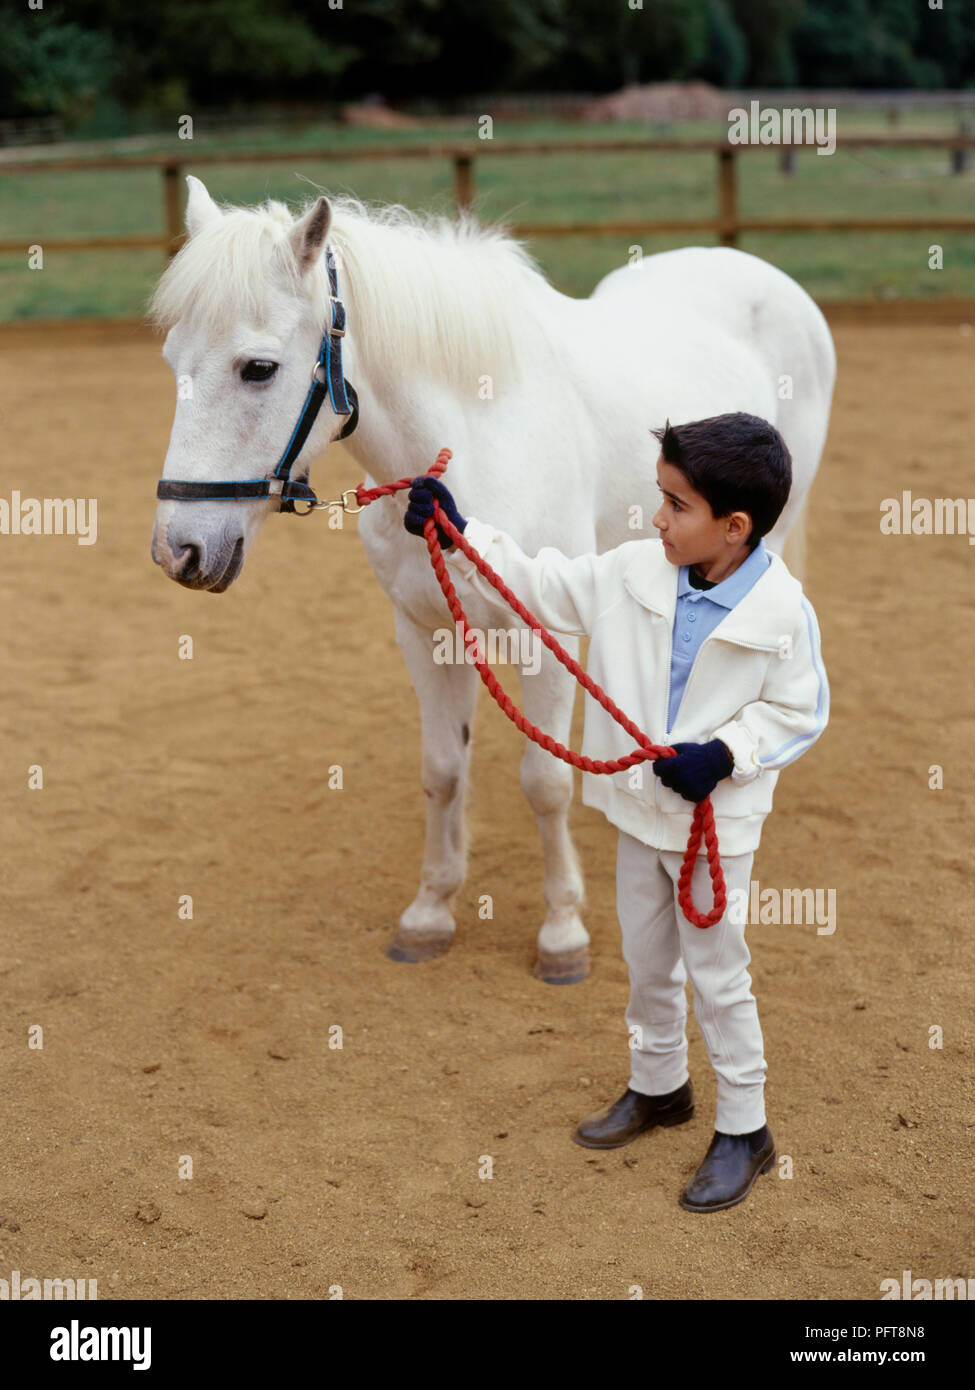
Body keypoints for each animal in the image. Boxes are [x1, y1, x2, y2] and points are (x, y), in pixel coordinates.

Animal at [150, 175, 835, 984]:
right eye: (173, 359)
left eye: (258, 368)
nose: (178, 550)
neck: (478, 437)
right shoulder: (424, 631)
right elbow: (444, 770)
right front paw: (430, 912)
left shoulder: (544, 636)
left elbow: (544, 782)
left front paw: (562, 933)